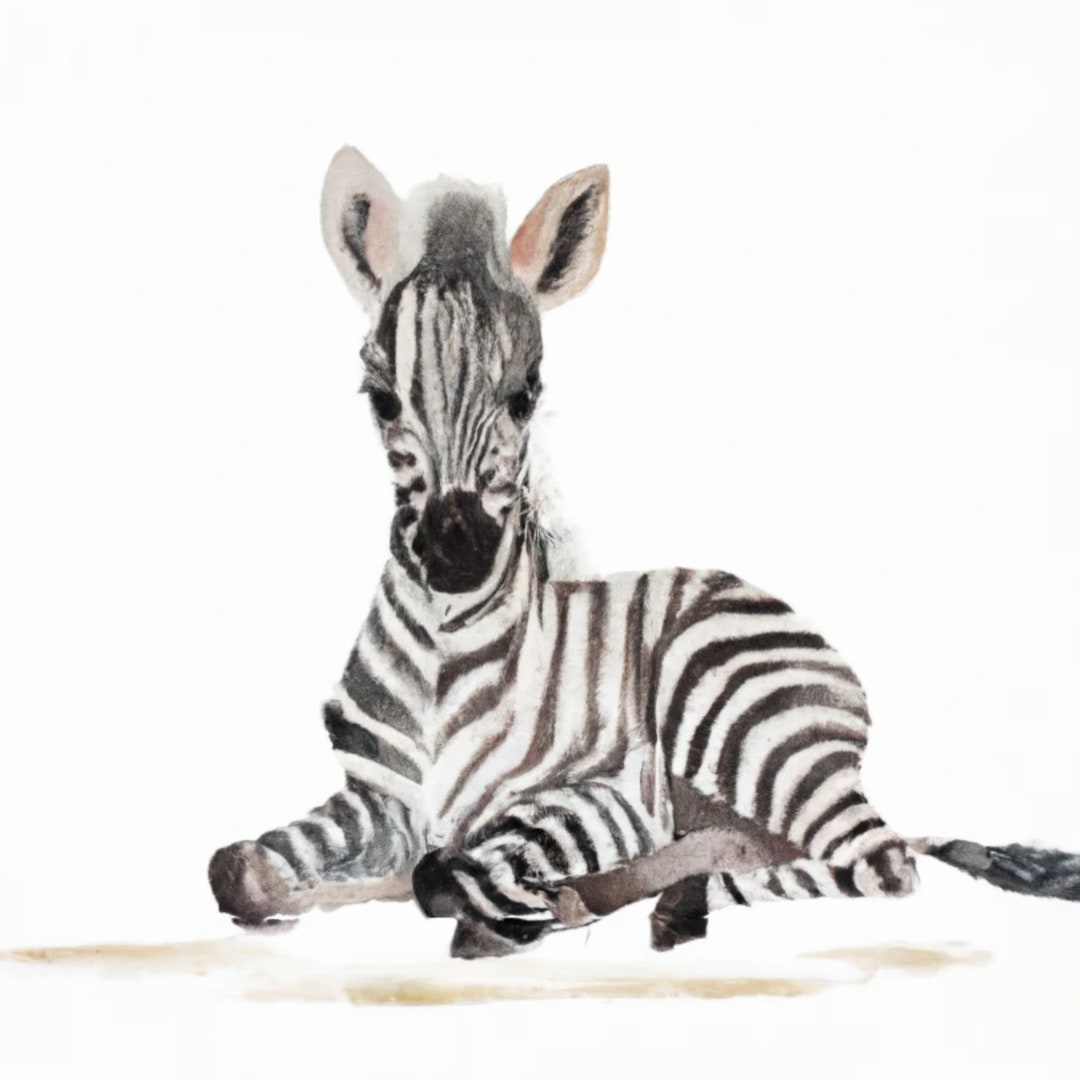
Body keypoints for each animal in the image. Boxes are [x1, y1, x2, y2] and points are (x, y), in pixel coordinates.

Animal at [208, 147, 1080, 958]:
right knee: (763, 841)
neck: (443, 659)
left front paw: (508, 907)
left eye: (526, 394)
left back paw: (659, 902)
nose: (457, 556)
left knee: (883, 861)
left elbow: (442, 872)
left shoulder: (611, 797)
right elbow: (236, 868)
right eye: (382, 399)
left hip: (739, 715)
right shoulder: (377, 799)